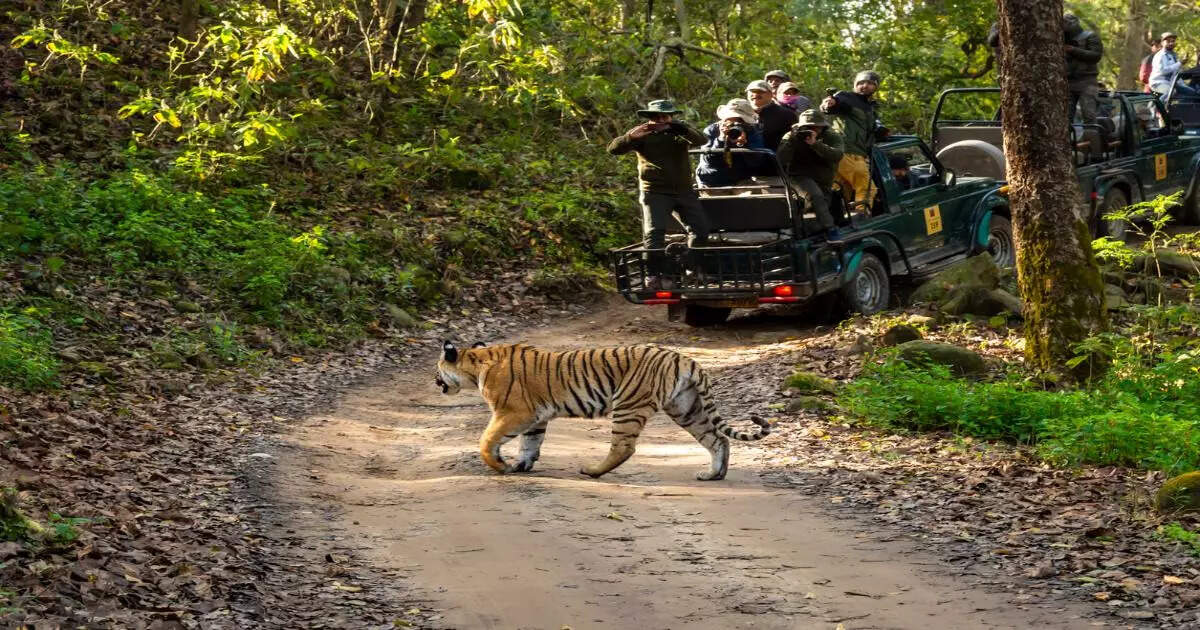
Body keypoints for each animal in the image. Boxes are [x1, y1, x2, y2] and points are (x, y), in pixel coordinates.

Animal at [434, 341, 771, 481]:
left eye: (438, 369)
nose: (435, 381)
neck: (476, 362)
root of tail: (685, 359)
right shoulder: (536, 418)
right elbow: (530, 443)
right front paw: (520, 465)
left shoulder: (513, 413)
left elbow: (487, 440)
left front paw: (500, 465)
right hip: (686, 408)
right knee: (717, 439)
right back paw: (714, 475)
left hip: (628, 405)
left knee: (623, 447)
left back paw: (592, 471)